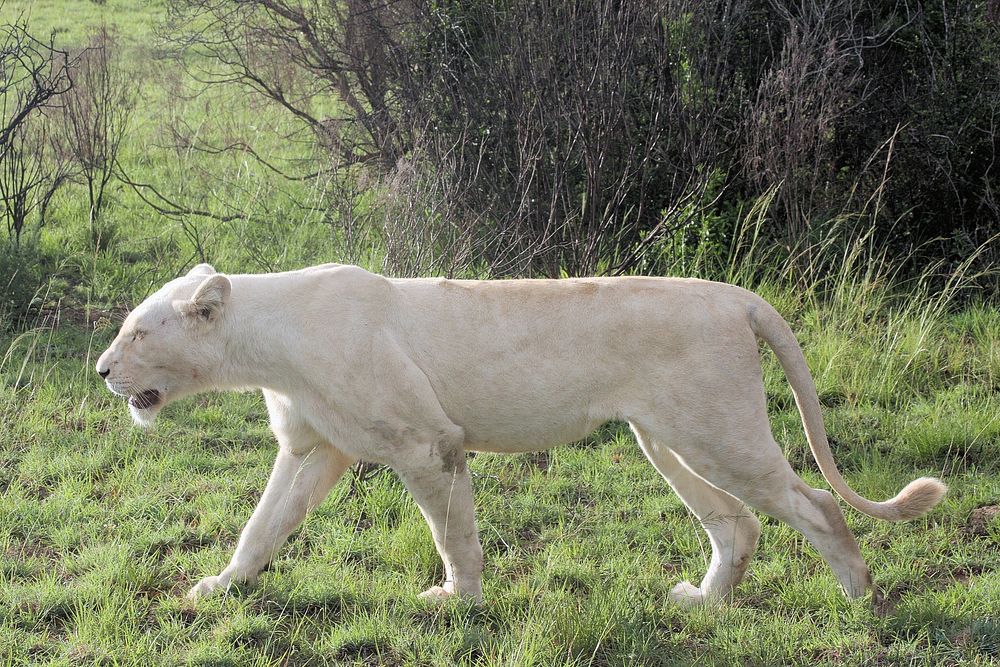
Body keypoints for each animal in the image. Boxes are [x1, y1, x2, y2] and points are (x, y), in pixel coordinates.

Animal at [96, 263, 946, 605]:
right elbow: (262, 529)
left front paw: (459, 601)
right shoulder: (313, 450)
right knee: (738, 524)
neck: (263, 347)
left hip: (718, 430)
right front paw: (217, 587)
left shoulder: (427, 443)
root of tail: (737, 296)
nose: (101, 370)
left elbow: (453, 533)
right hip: (666, 436)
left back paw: (858, 595)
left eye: (138, 331)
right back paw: (703, 603)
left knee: (812, 504)